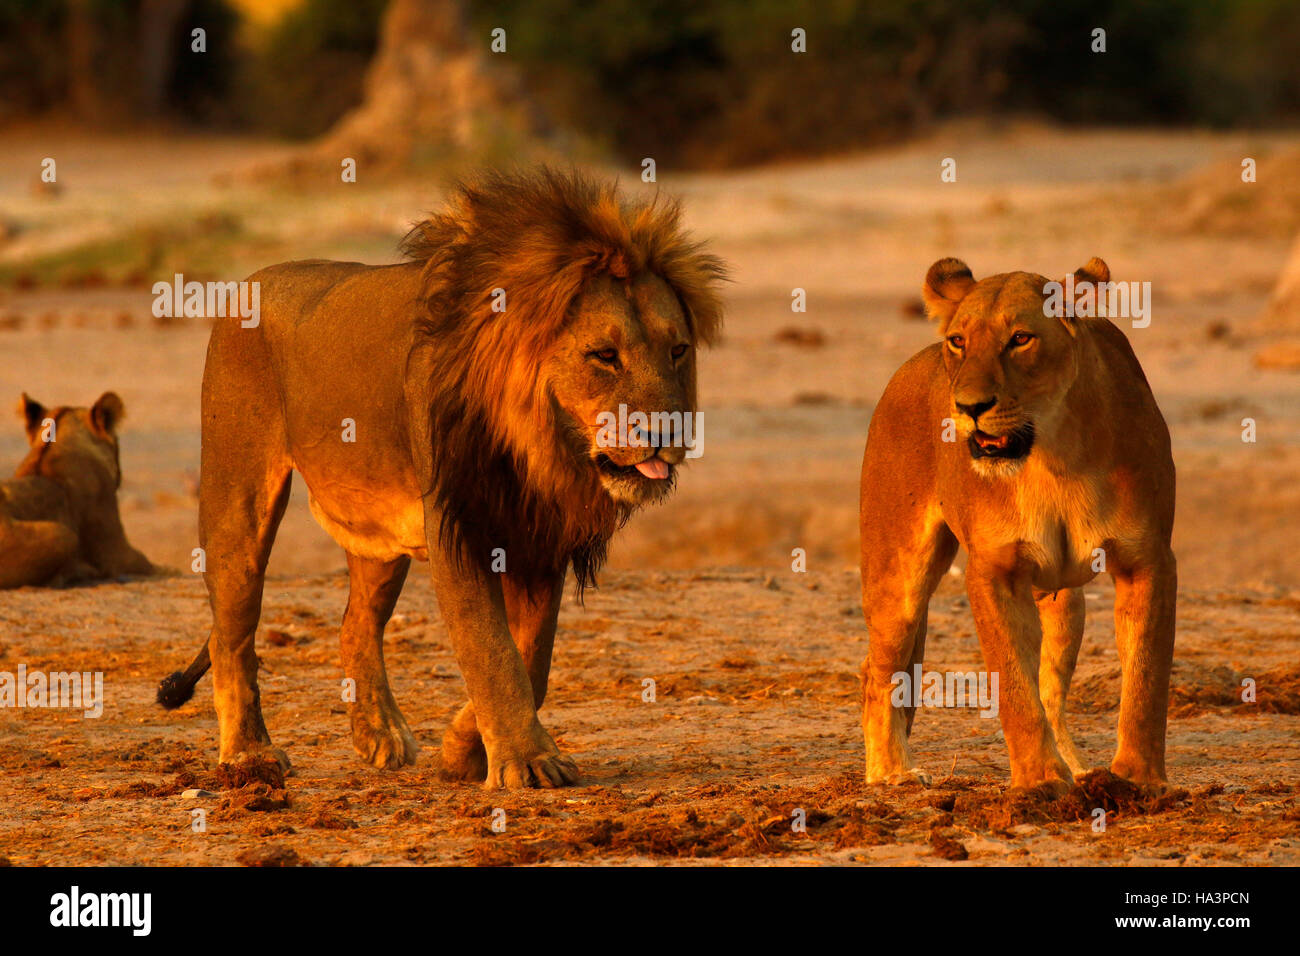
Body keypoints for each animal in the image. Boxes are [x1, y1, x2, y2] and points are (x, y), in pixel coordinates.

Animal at [157, 167, 726, 789]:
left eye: (678, 350)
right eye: (604, 355)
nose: (669, 432)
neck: (542, 443)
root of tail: (253, 281)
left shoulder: (536, 535)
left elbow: (532, 656)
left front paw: (463, 749)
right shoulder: (457, 520)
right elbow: (491, 648)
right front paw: (526, 761)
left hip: (377, 534)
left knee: (356, 624)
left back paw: (379, 733)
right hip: (237, 502)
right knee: (232, 633)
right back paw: (248, 754)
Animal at [859, 257, 1176, 791]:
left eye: (1021, 339)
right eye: (959, 341)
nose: (968, 407)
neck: (1054, 457)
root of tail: (910, 366)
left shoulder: (1147, 559)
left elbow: (1145, 676)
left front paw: (1135, 778)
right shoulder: (995, 569)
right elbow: (1012, 685)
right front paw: (1040, 781)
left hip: (1066, 606)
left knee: (1050, 689)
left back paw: (1079, 770)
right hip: (896, 578)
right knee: (876, 670)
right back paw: (891, 773)